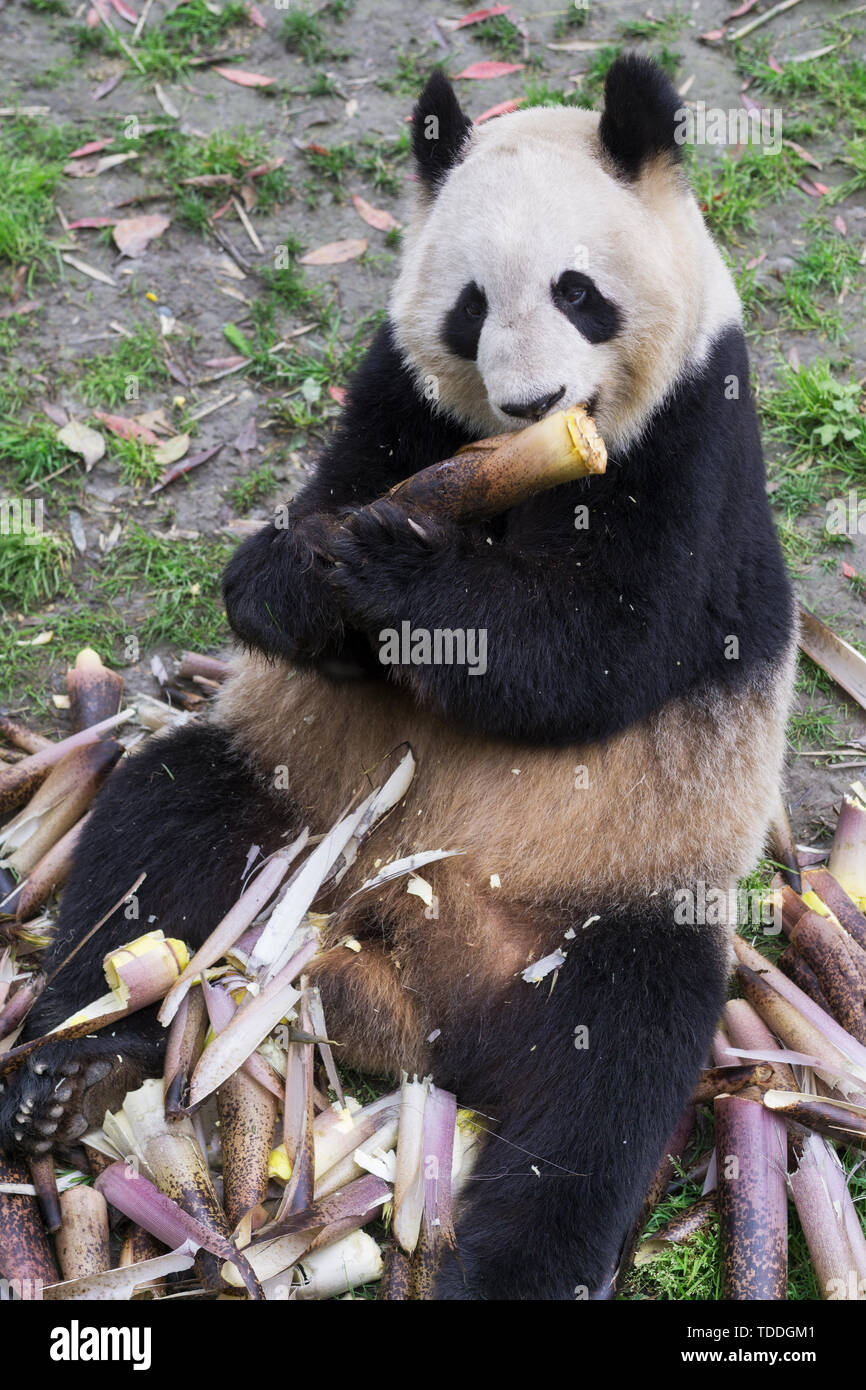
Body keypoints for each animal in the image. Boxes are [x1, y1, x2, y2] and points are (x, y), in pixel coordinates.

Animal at [0, 57, 795, 1300]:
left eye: (579, 293)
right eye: (469, 306)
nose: (528, 407)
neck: (516, 470)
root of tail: (407, 1018)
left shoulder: (693, 436)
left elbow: (600, 648)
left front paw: (392, 566)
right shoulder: (401, 393)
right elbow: (313, 561)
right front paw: (294, 569)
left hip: (613, 897)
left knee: (612, 1069)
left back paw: (516, 1266)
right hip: (293, 812)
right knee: (159, 835)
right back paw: (72, 1076)